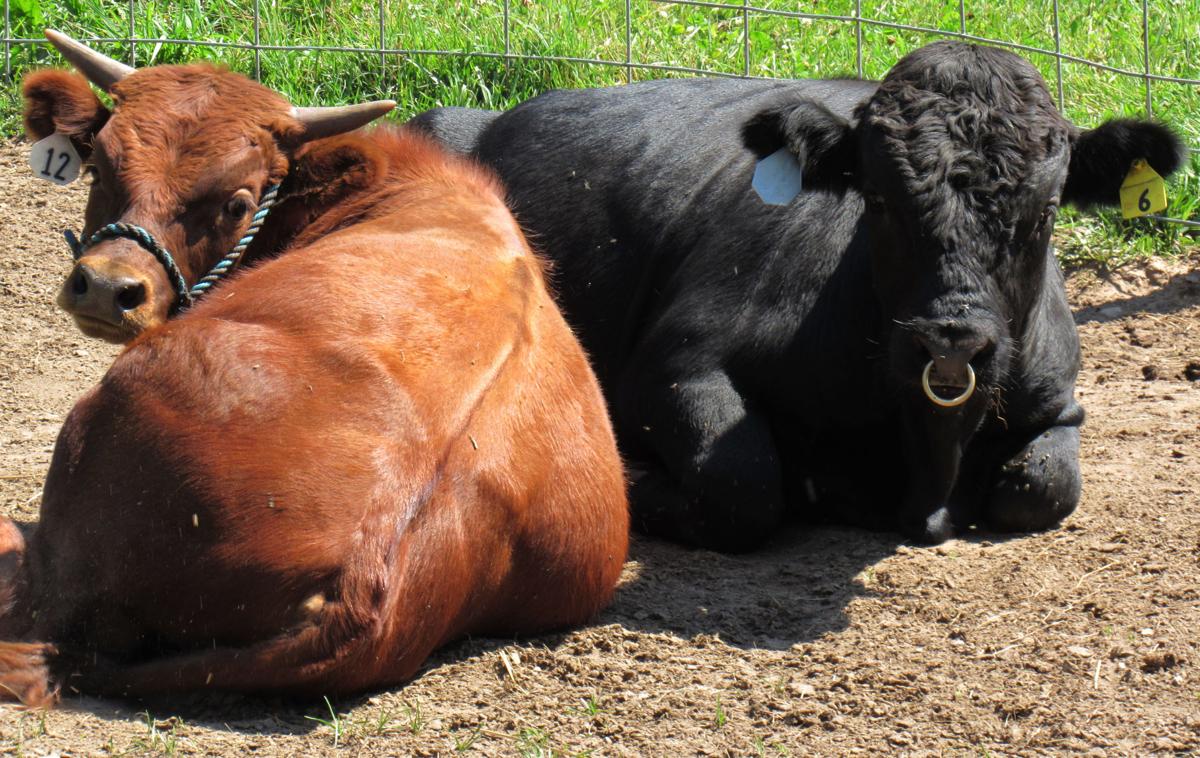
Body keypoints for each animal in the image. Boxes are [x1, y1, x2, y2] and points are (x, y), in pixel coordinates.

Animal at [409, 41, 1185, 549]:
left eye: (1046, 211)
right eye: (878, 198)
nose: (951, 340)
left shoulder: (1056, 396)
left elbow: (1043, 487)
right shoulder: (673, 362)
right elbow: (743, 482)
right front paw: (631, 476)